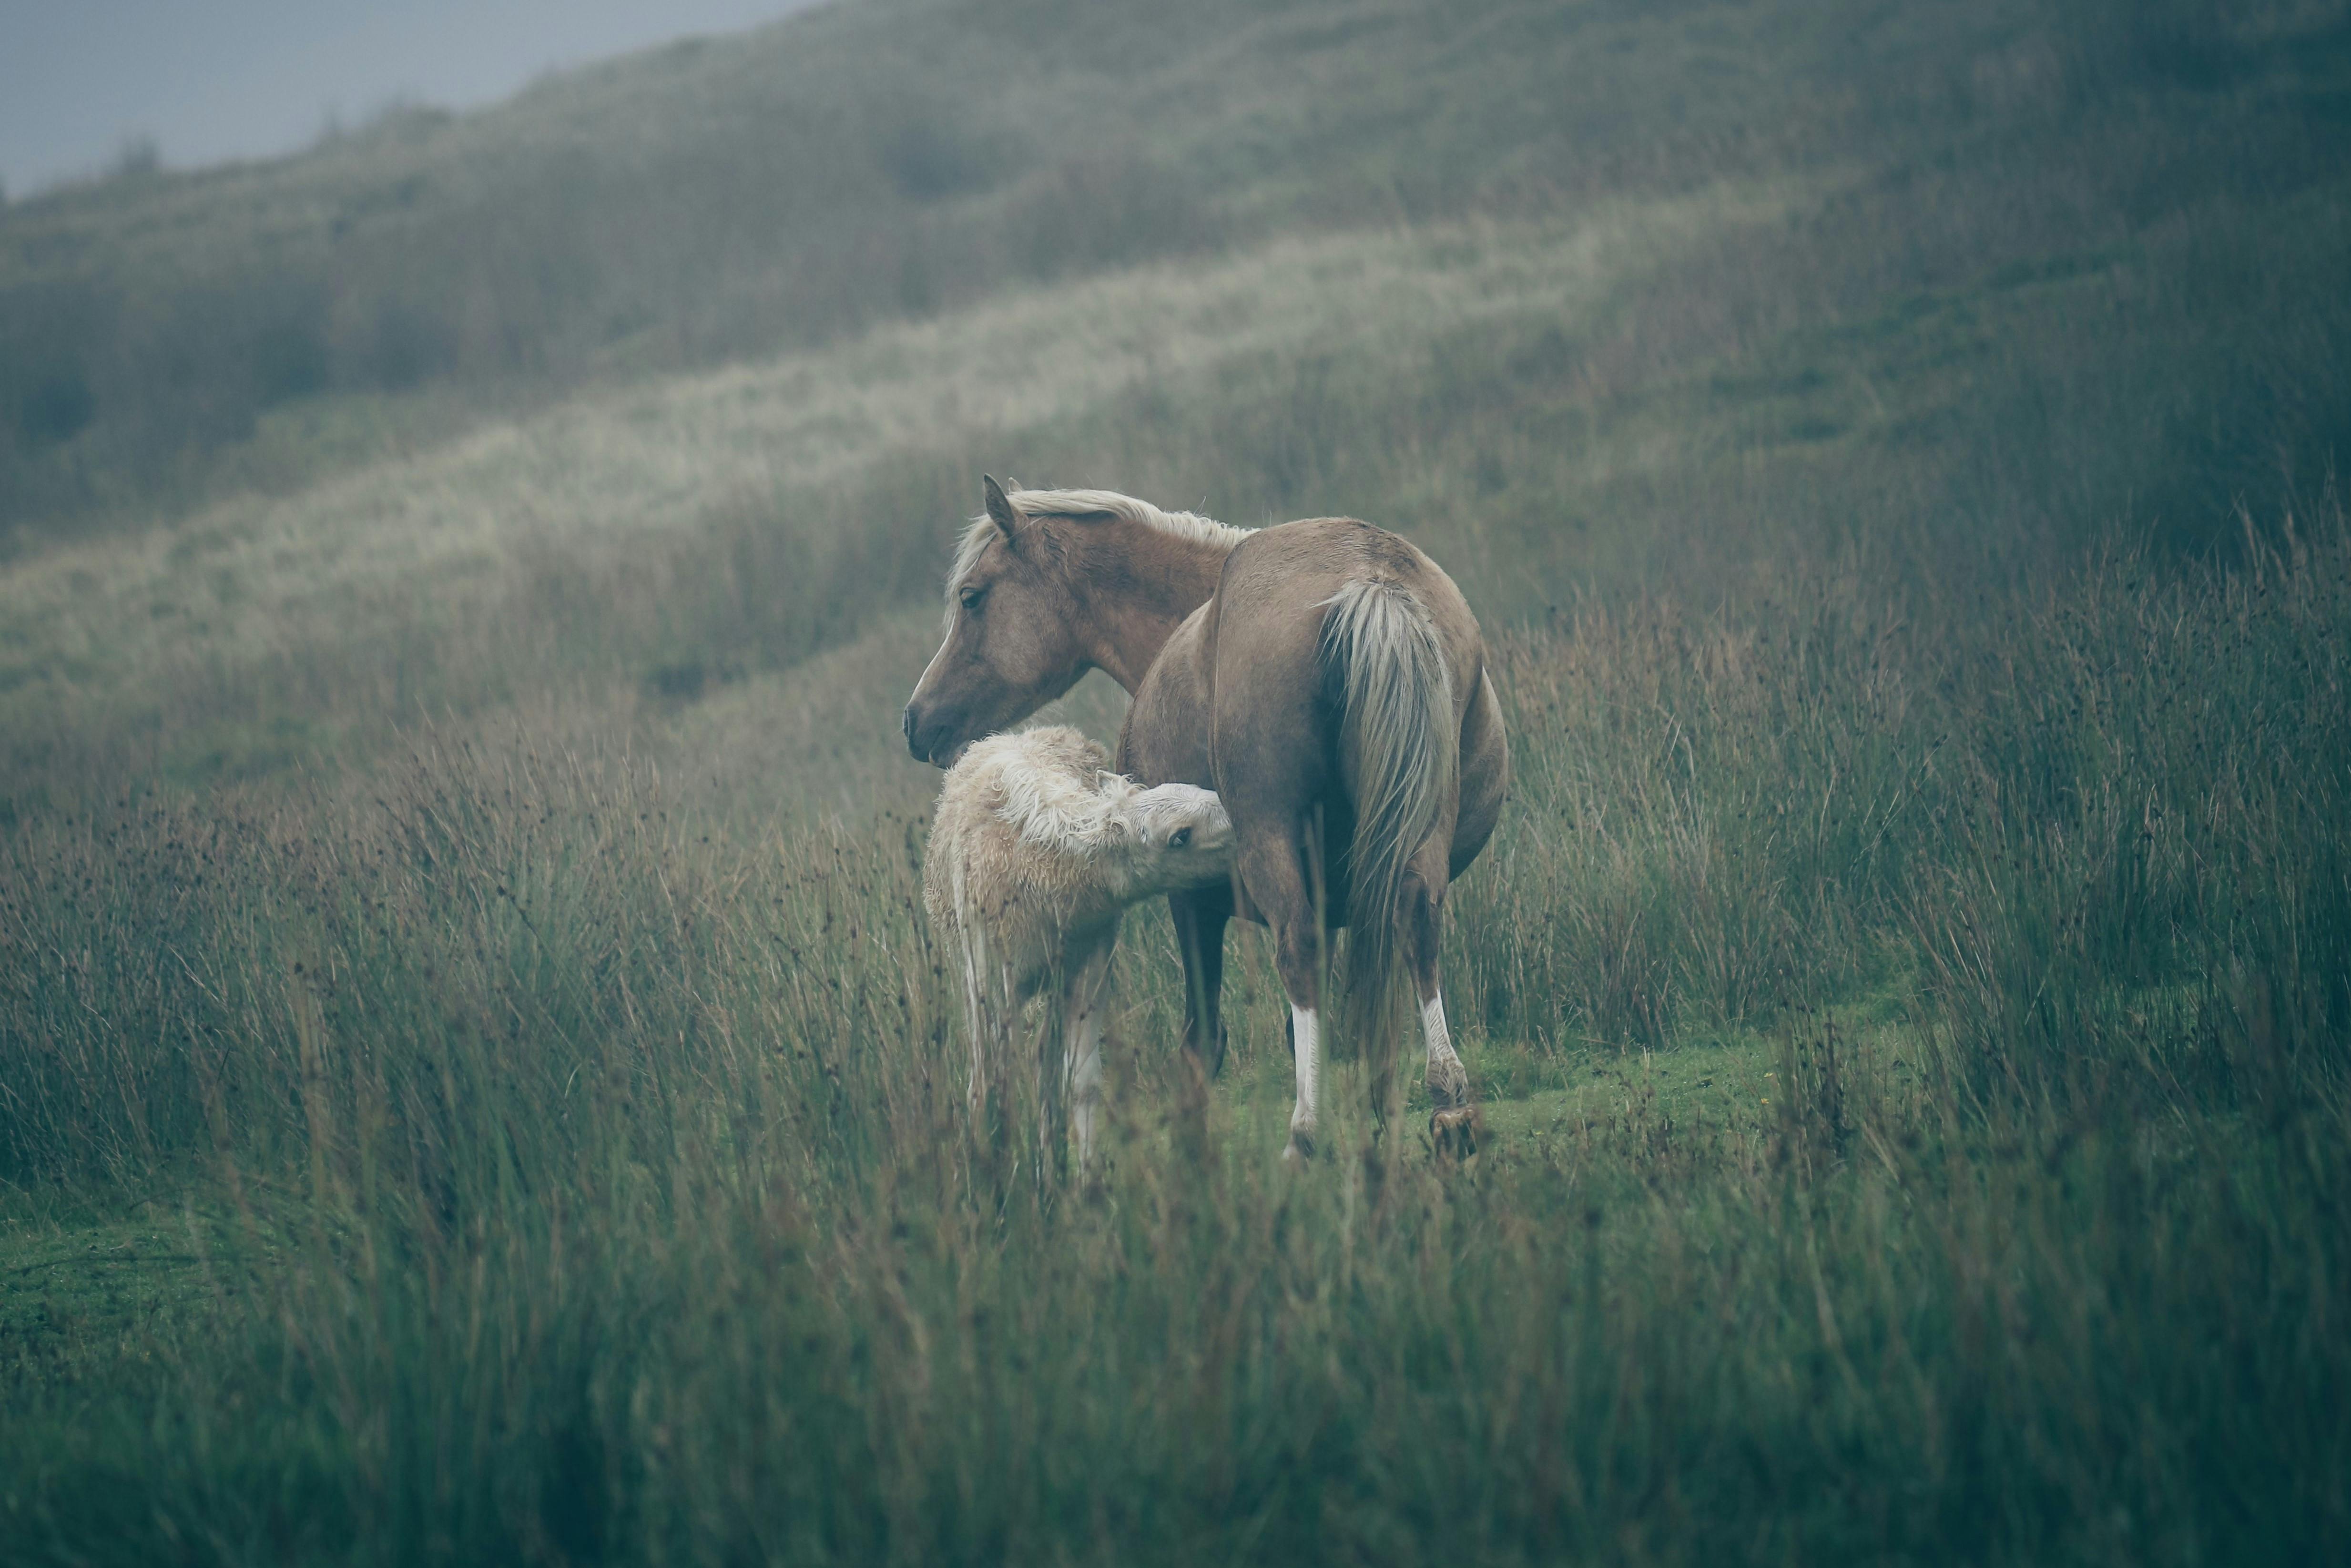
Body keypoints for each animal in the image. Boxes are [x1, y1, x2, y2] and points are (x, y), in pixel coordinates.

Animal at [923, 725, 1235, 1168]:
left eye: (1200, 789)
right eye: (1180, 836)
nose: (1243, 830)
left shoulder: (1091, 965)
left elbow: (1083, 1082)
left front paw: (1087, 1177)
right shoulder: (994, 977)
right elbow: (997, 1080)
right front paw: (997, 1171)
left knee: (1044, 1062)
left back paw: (1051, 1163)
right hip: (975, 974)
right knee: (989, 1069)